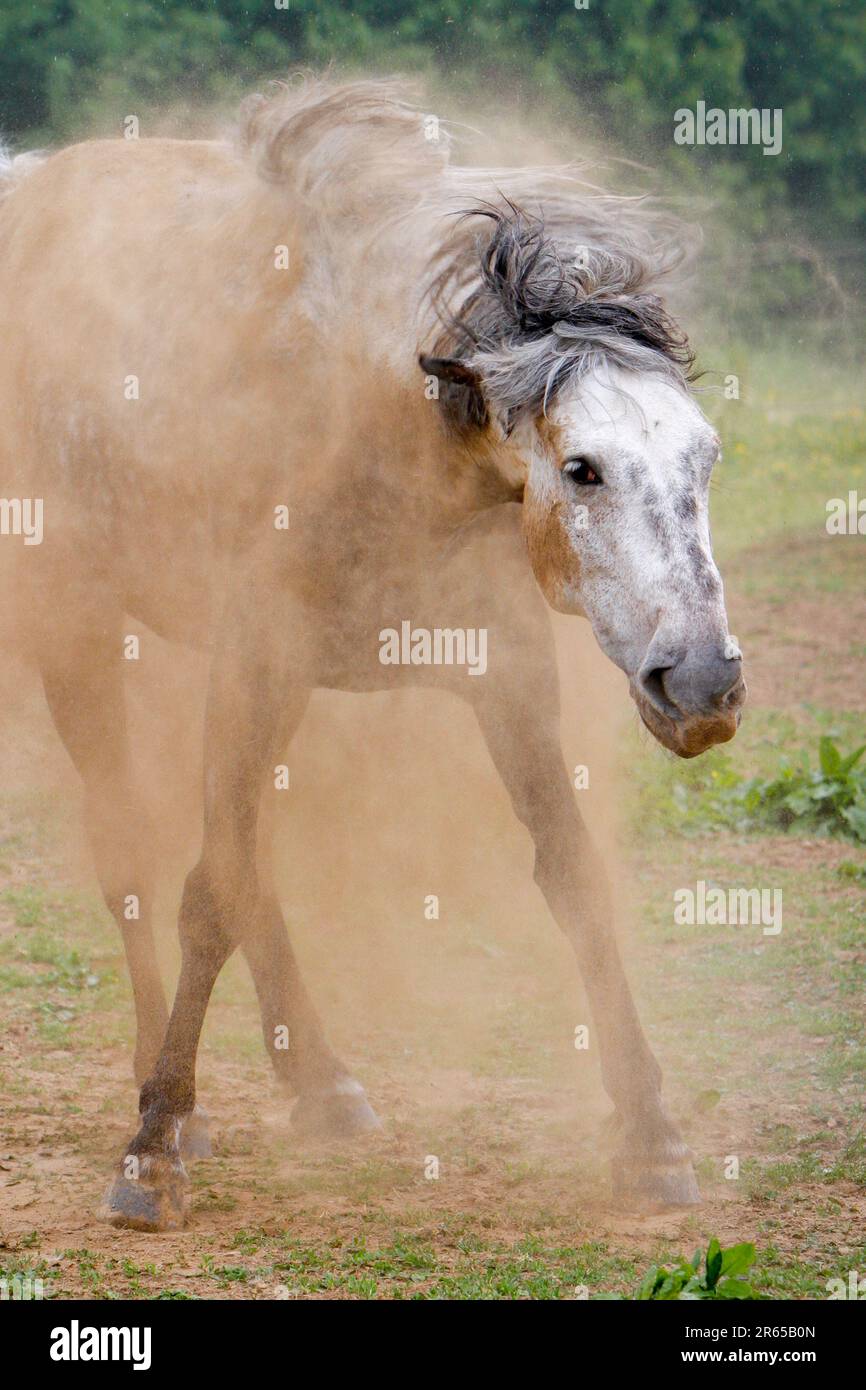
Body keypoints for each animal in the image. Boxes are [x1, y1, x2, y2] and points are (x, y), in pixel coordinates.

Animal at [0, 77, 746, 1231]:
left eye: (703, 457)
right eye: (581, 467)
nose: (703, 682)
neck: (373, 427)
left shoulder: (503, 676)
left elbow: (572, 877)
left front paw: (649, 1134)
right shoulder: (254, 662)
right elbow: (202, 895)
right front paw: (152, 1150)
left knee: (238, 858)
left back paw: (319, 1080)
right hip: (83, 639)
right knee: (133, 852)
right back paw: (178, 1095)